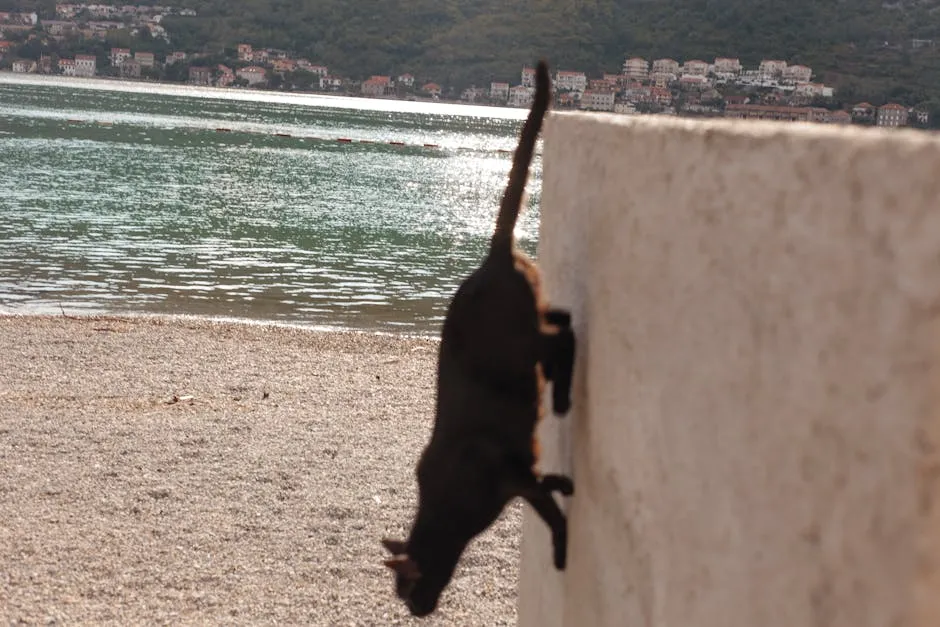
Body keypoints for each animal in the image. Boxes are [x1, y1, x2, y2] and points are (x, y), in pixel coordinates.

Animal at [380, 59, 572, 620]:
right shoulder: (523, 474)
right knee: (561, 320)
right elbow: (551, 486)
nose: (417, 613)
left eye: (410, 592)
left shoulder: (511, 477)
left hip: (525, 346)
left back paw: (564, 395)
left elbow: (551, 512)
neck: (447, 510)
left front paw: (561, 547)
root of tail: (492, 255)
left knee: (565, 338)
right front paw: (565, 484)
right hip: (533, 320)